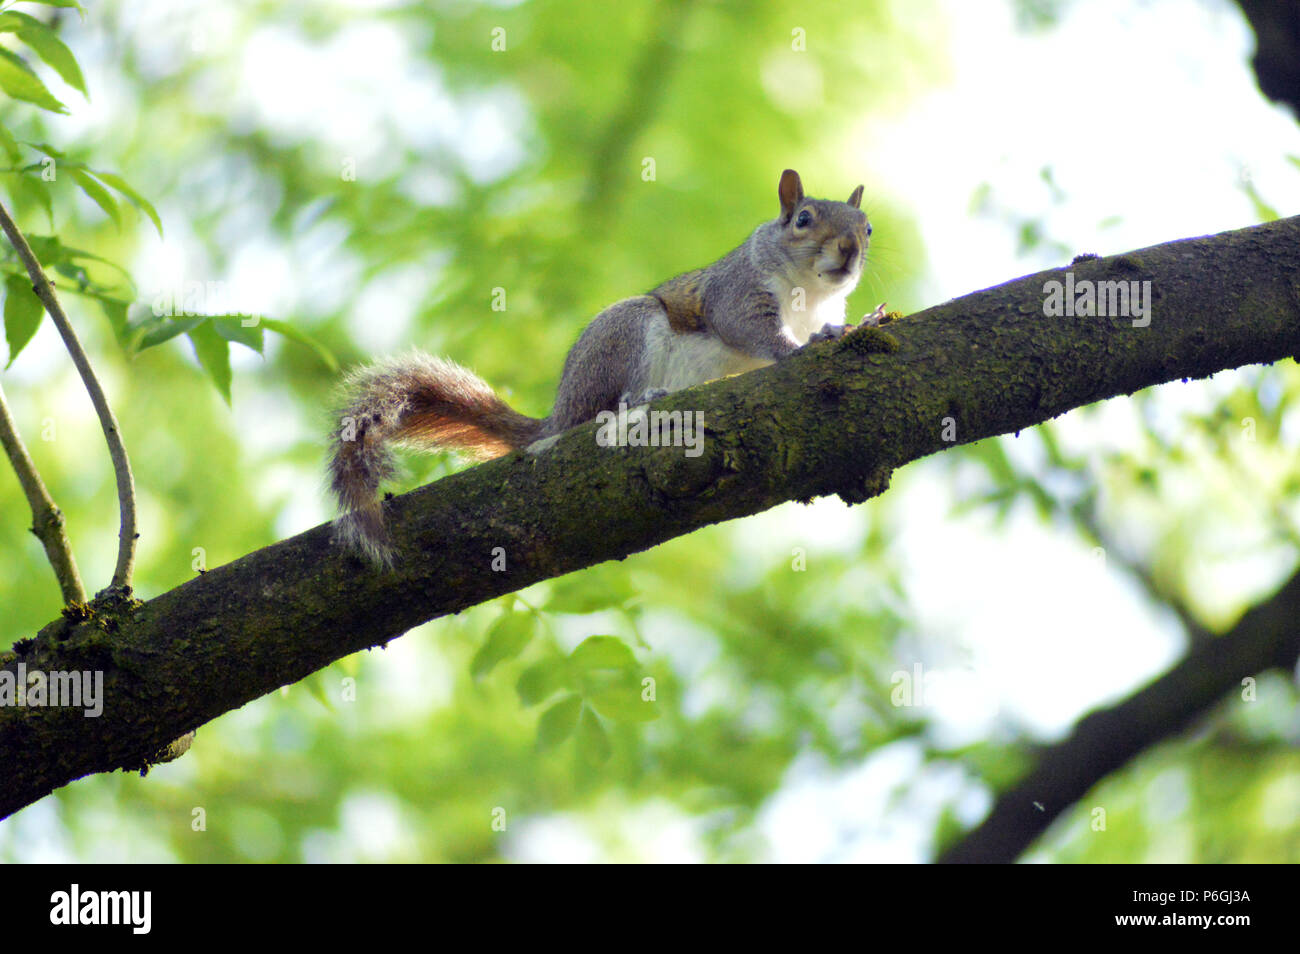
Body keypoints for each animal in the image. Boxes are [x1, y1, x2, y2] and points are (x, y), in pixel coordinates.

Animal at [329, 169, 877, 565]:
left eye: (867, 227)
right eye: (803, 219)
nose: (850, 249)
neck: (809, 293)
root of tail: (560, 411)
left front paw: (851, 324)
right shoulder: (737, 292)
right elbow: (752, 330)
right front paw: (798, 348)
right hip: (629, 334)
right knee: (603, 406)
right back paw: (641, 398)